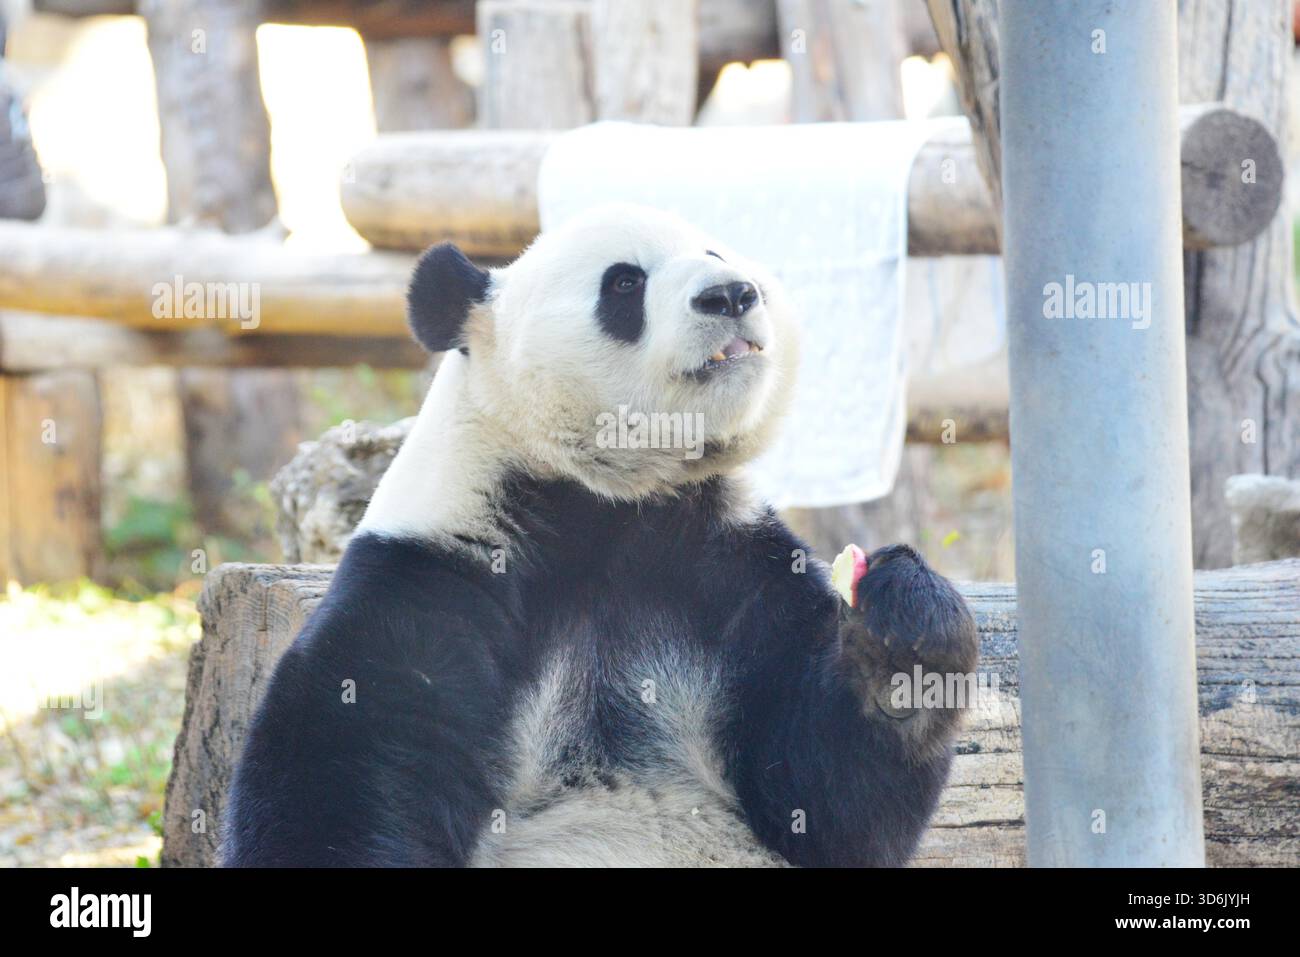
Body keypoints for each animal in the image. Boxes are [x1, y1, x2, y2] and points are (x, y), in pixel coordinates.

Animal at [222, 203, 978, 868]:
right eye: (624, 283)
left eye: (716, 252)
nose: (732, 293)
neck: (607, 505)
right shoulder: (433, 585)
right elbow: (341, 783)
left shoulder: (731, 570)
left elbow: (825, 805)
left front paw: (906, 623)